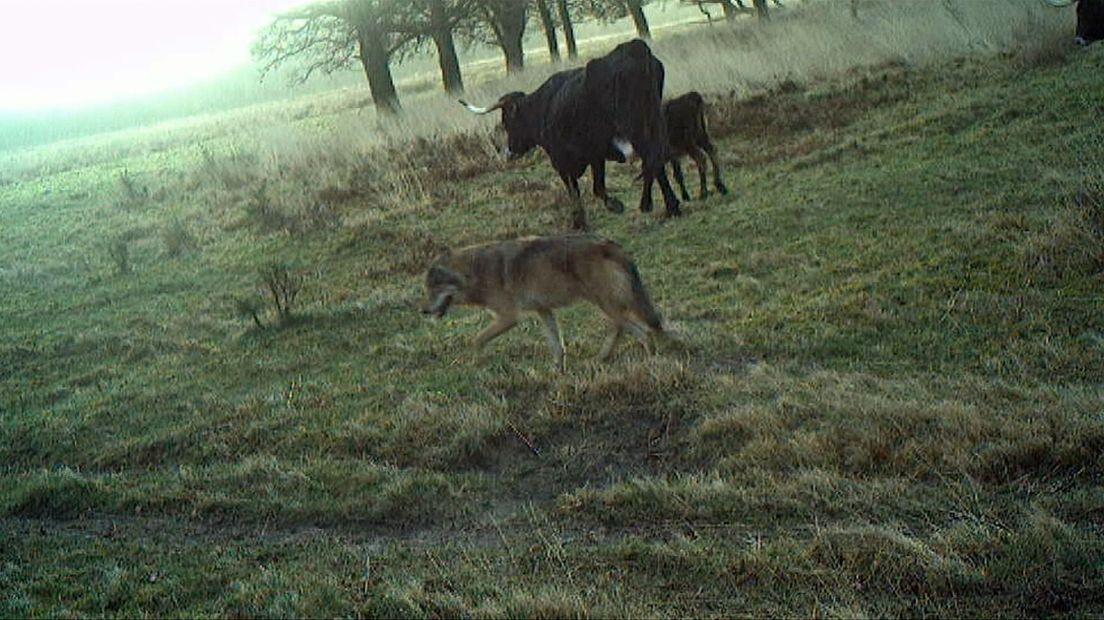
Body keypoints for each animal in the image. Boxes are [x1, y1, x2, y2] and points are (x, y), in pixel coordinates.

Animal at [421, 235, 664, 370]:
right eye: (427, 289)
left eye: (435, 288)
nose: (423, 311)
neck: (476, 272)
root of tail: (609, 245)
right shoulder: (543, 310)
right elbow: (557, 346)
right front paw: (558, 371)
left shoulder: (509, 317)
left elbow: (476, 340)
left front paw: (476, 363)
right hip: (607, 305)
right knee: (622, 328)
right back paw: (603, 358)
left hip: (605, 304)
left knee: (642, 330)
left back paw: (648, 358)